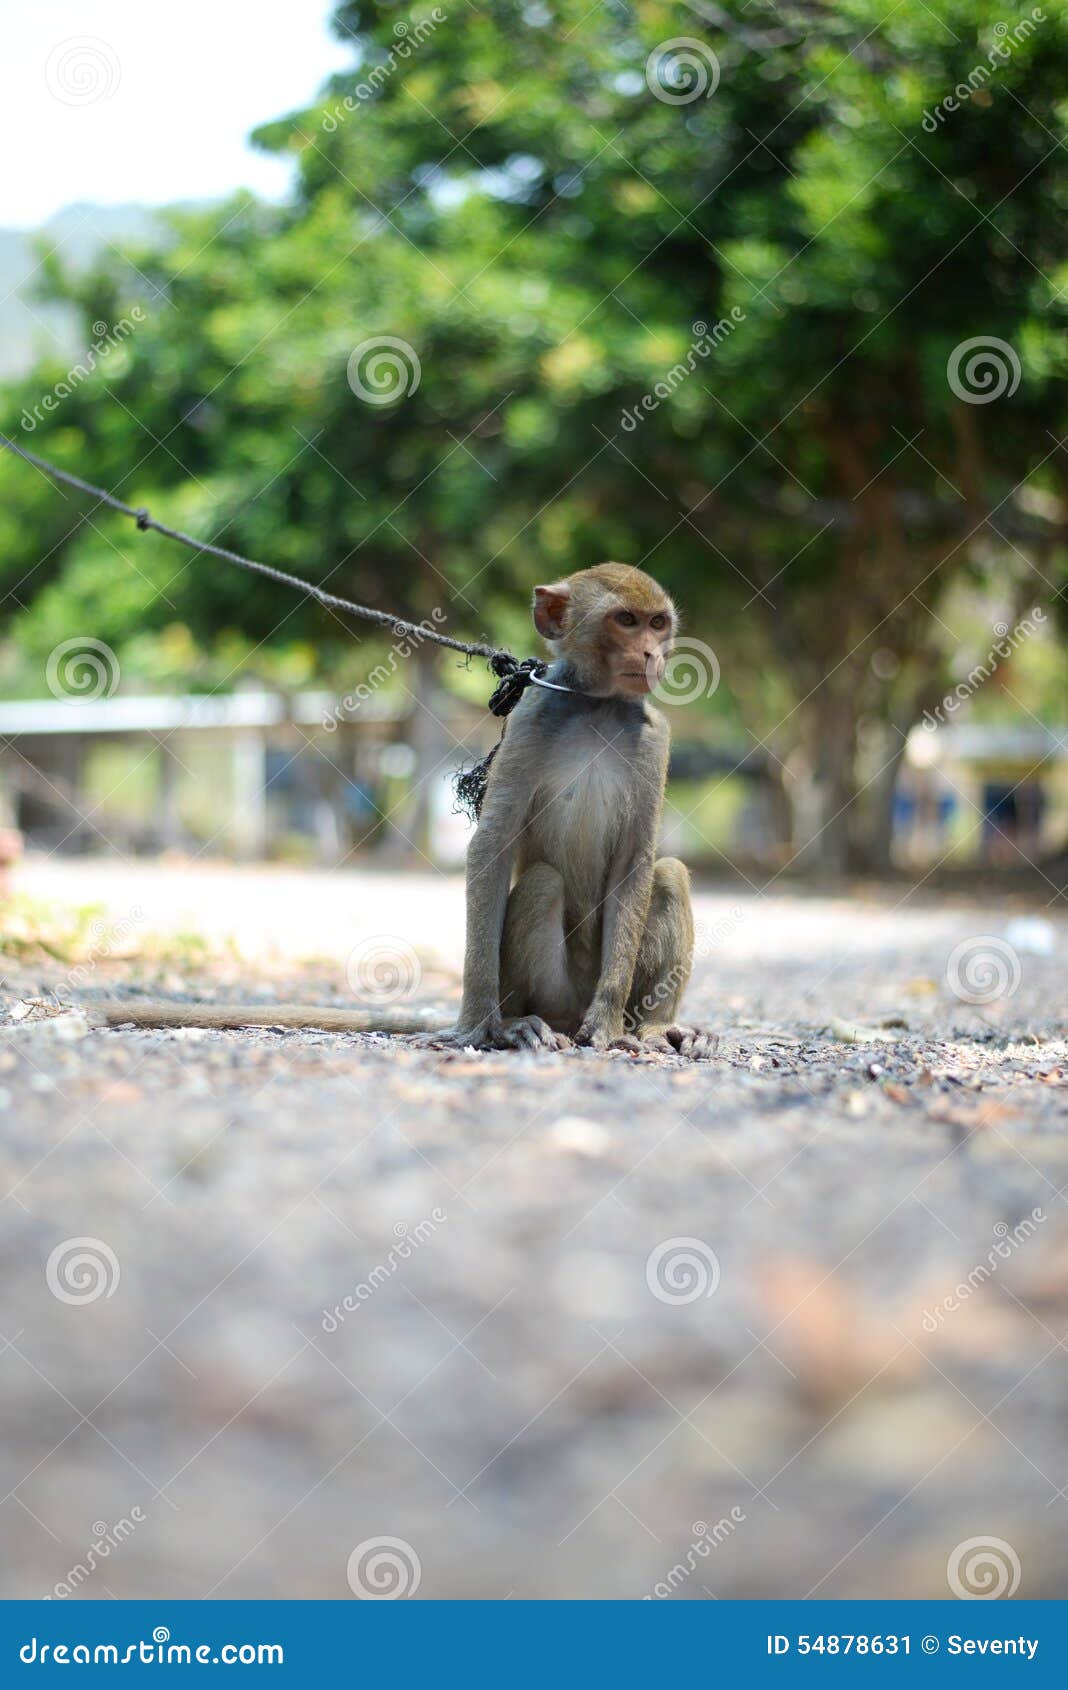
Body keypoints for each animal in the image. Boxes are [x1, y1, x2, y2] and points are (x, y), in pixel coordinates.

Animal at [85, 563, 711, 1059]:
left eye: (658, 624)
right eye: (626, 621)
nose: (653, 654)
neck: (595, 708)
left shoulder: (653, 736)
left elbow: (635, 861)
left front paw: (608, 1025)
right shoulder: (533, 721)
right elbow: (493, 845)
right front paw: (479, 1025)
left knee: (666, 875)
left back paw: (654, 1027)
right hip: (547, 989)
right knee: (542, 882)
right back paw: (522, 1022)